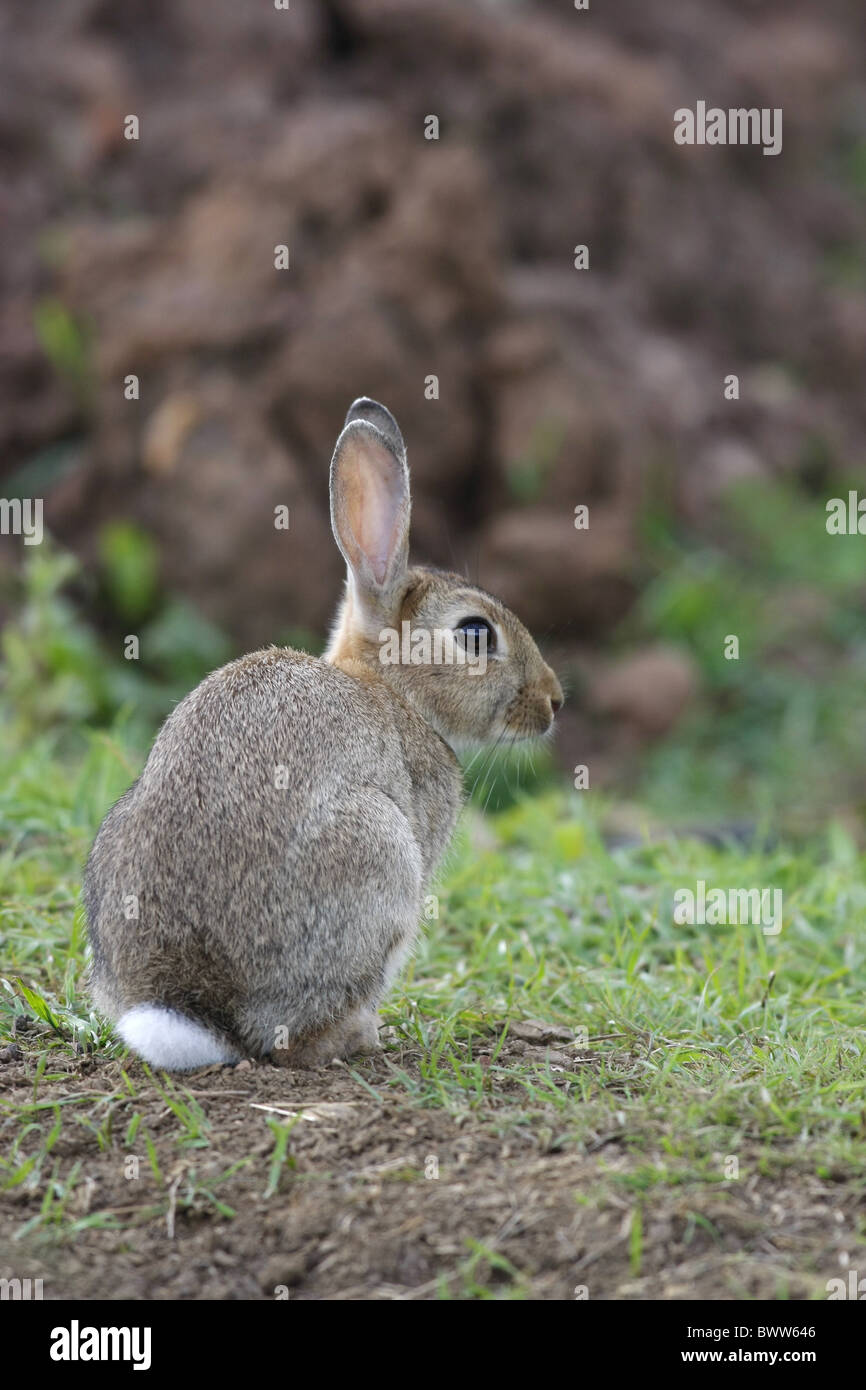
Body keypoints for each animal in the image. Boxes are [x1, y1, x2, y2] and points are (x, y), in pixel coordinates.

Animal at [84, 398, 564, 1070]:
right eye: (475, 634)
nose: (553, 701)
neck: (393, 689)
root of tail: (195, 1006)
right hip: (380, 853)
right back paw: (358, 1036)